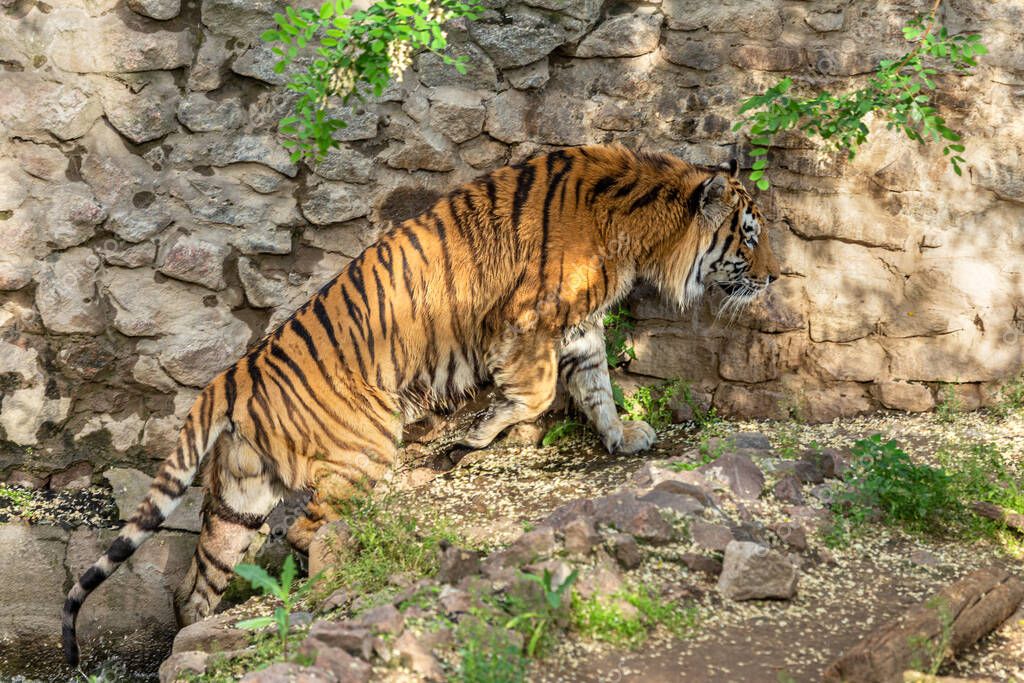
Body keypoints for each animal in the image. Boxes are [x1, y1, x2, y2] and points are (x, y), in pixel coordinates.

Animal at [62, 143, 780, 665]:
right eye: (748, 237)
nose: (775, 276)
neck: (639, 223)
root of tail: (229, 378)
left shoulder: (574, 323)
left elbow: (594, 384)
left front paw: (621, 437)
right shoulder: (530, 318)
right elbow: (537, 391)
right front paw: (472, 436)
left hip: (240, 494)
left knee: (198, 585)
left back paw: (192, 638)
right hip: (365, 443)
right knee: (305, 530)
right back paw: (354, 559)